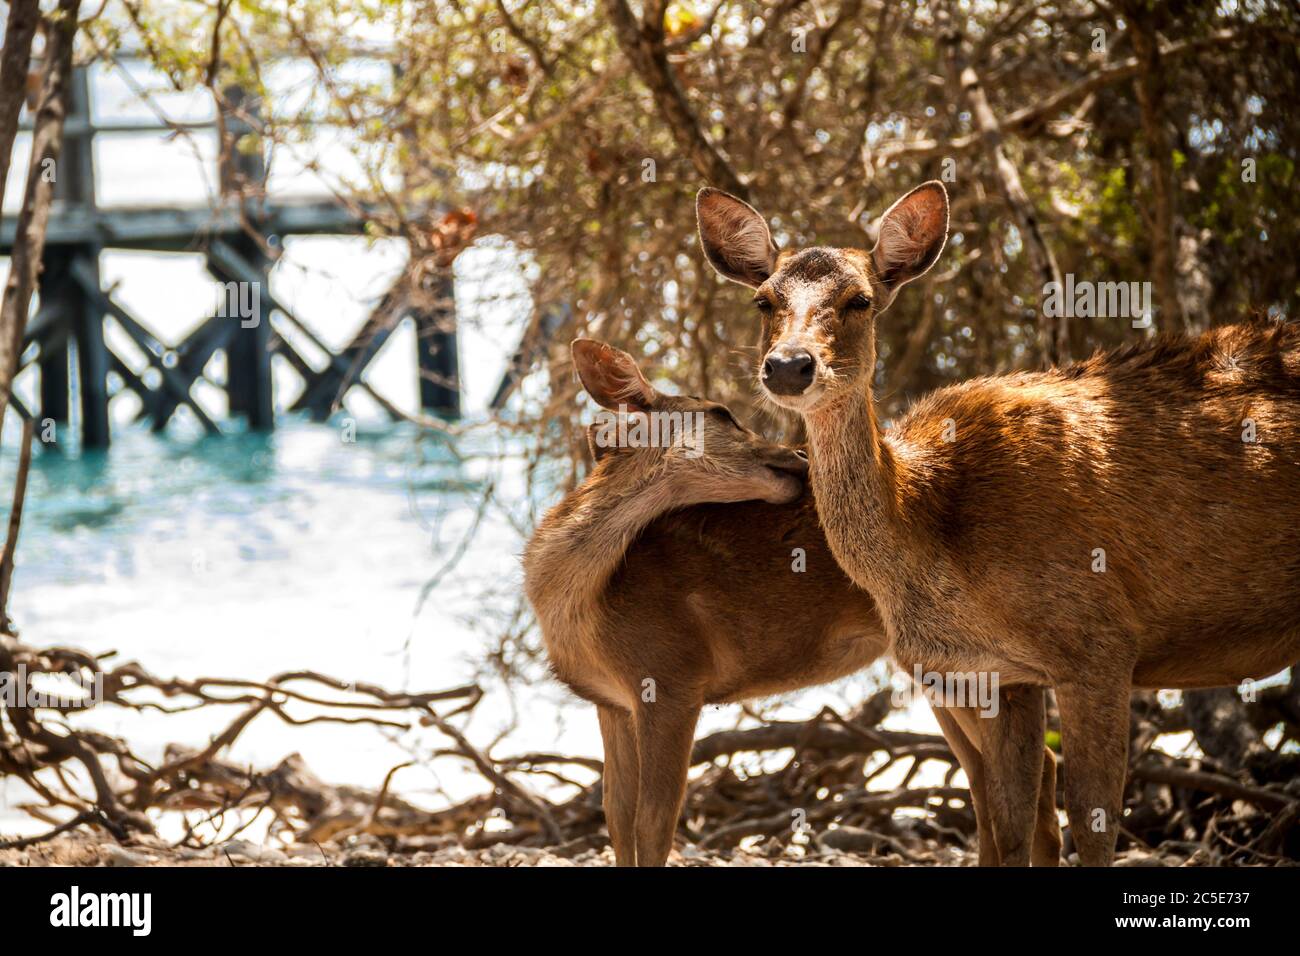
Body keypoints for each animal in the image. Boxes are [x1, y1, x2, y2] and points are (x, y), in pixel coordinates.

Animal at [523, 339, 1062, 866]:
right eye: (722, 412)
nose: (800, 459)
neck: (589, 603)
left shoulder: (675, 675)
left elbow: (653, 825)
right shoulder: (612, 702)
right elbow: (617, 819)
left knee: (1025, 773)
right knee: (991, 777)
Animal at [696, 180, 1300, 866]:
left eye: (861, 300)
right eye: (763, 300)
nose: (789, 366)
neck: (934, 526)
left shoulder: (1100, 641)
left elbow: (1091, 825)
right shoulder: (1000, 674)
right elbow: (1011, 822)